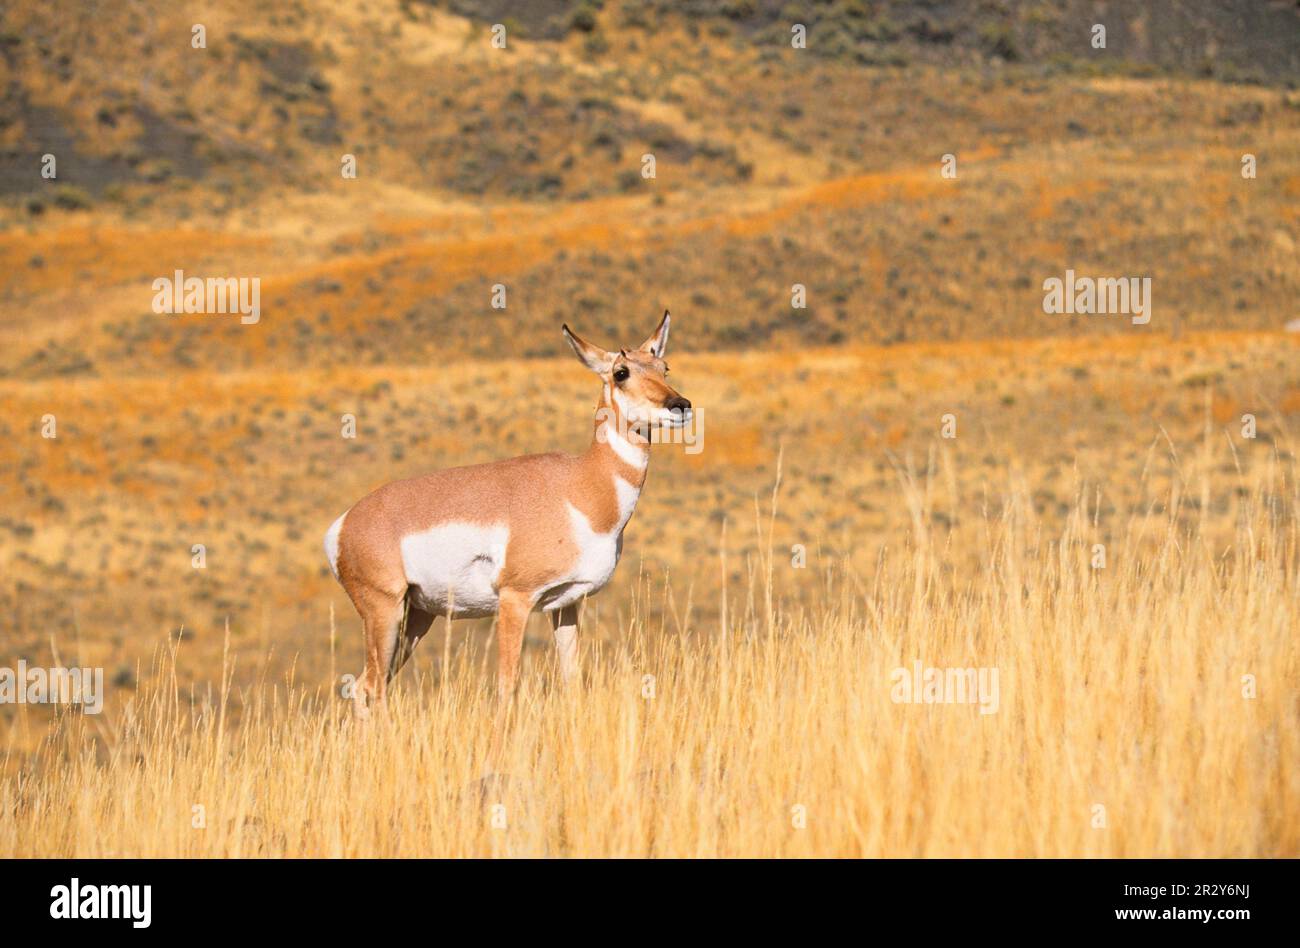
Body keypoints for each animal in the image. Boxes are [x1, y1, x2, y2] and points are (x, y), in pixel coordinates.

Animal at [324, 312, 691, 718]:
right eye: (621, 372)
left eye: (664, 367)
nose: (680, 404)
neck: (581, 487)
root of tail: (344, 523)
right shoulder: (515, 599)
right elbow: (507, 686)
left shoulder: (567, 603)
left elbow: (572, 682)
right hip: (384, 609)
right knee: (370, 687)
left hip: (418, 615)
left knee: (367, 684)